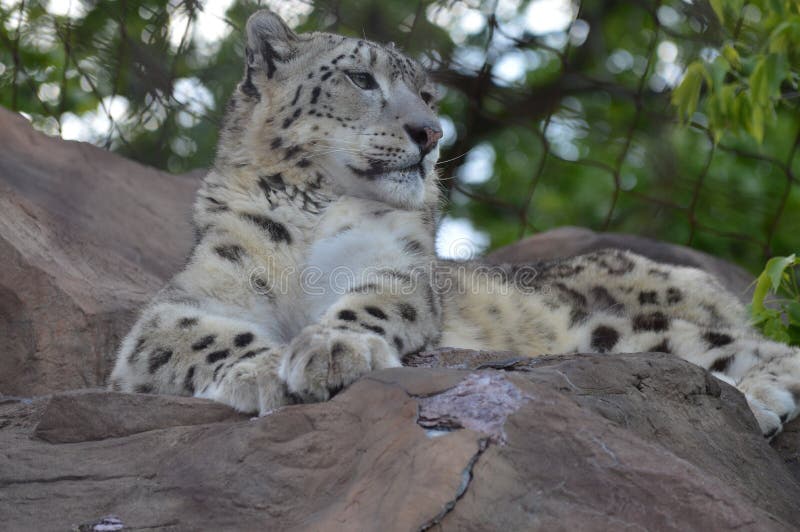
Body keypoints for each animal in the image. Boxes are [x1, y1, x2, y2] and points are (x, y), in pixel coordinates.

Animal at [109, 9, 800, 439]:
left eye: (428, 96)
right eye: (359, 77)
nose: (430, 133)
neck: (315, 210)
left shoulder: (398, 266)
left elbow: (372, 300)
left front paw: (334, 348)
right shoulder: (181, 302)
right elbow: (195, 336)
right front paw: (260, 370)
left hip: (621, 327)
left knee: (759, 349)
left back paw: (761, 401)